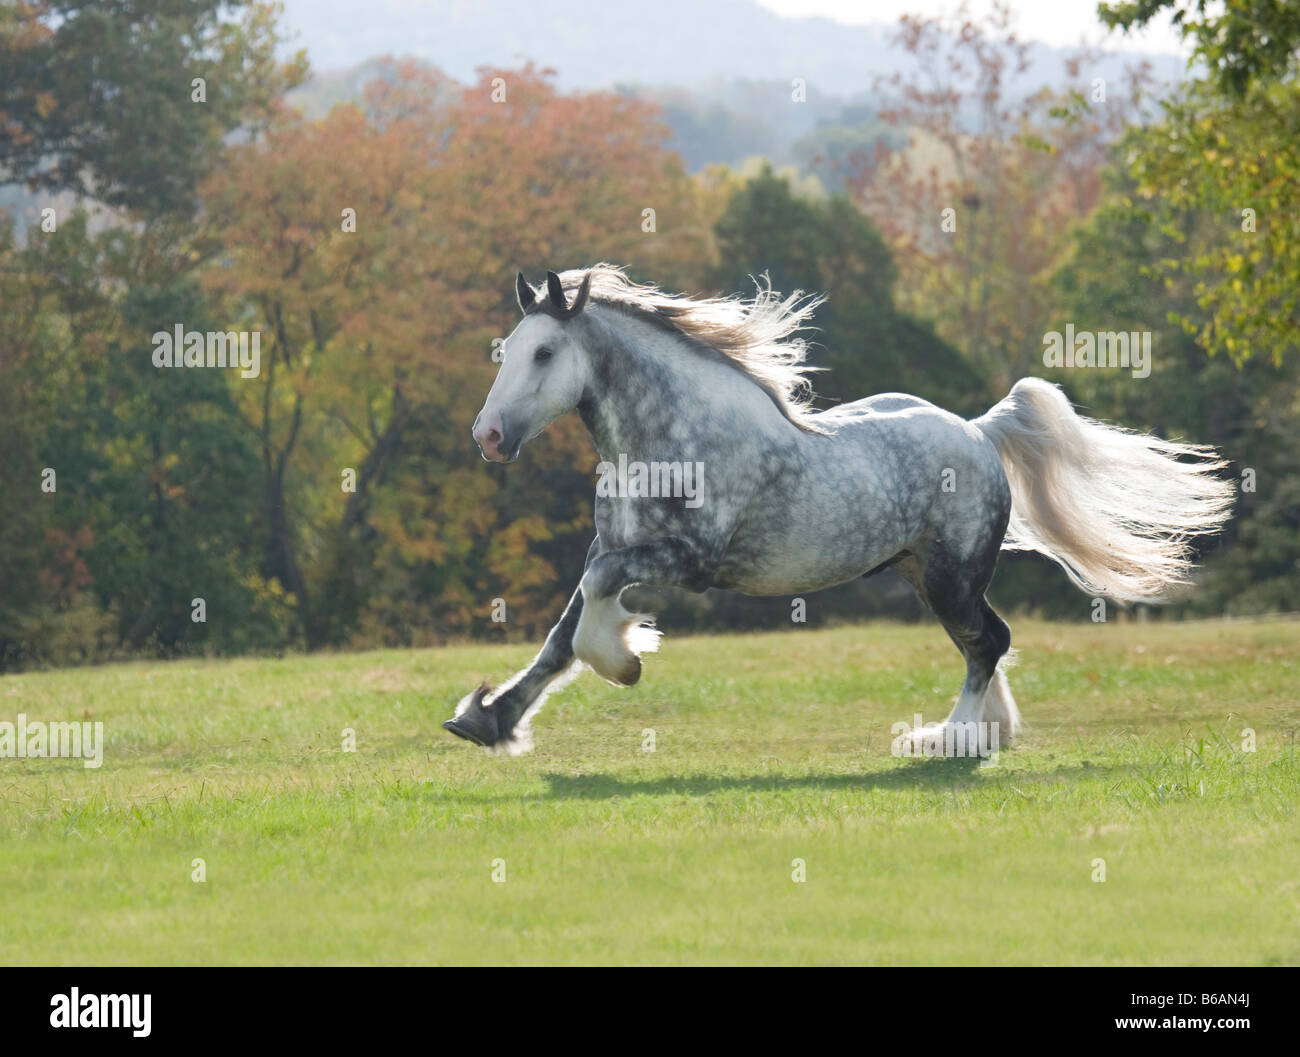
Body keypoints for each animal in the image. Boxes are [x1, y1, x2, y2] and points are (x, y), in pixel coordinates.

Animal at [444, 264, 1234, 755]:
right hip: (924, 574)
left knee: (986, 643)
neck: (670, 438)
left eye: (545, 353)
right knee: (987, 640)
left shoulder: (687, 560)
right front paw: (488, 719)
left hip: (948, 577)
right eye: (511, 349)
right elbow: (561, 632)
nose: (488, 437)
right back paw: (986, 735)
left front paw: (624, 659)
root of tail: (980, 432)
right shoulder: (612, 547)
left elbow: (594, 603)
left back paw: (949, 739)